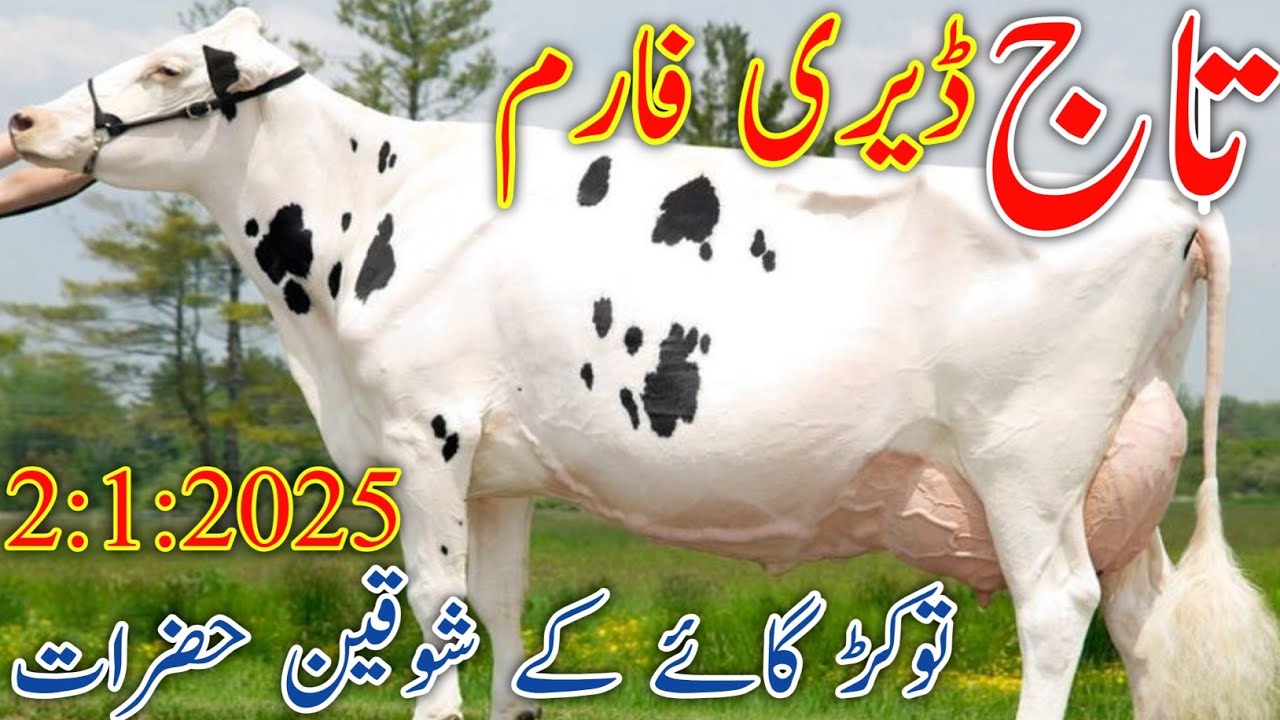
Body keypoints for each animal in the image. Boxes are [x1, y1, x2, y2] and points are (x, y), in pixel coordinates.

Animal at [7, 9, 1278, 720]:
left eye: (171, 71)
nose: (23, 122)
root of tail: (1168, 199)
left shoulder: (425, 434)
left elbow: (436, 608)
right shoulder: (499, 467)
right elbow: (500, 615)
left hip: (1026, 457)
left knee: (1057, 610)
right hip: (1114, 474)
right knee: (1142, 625)